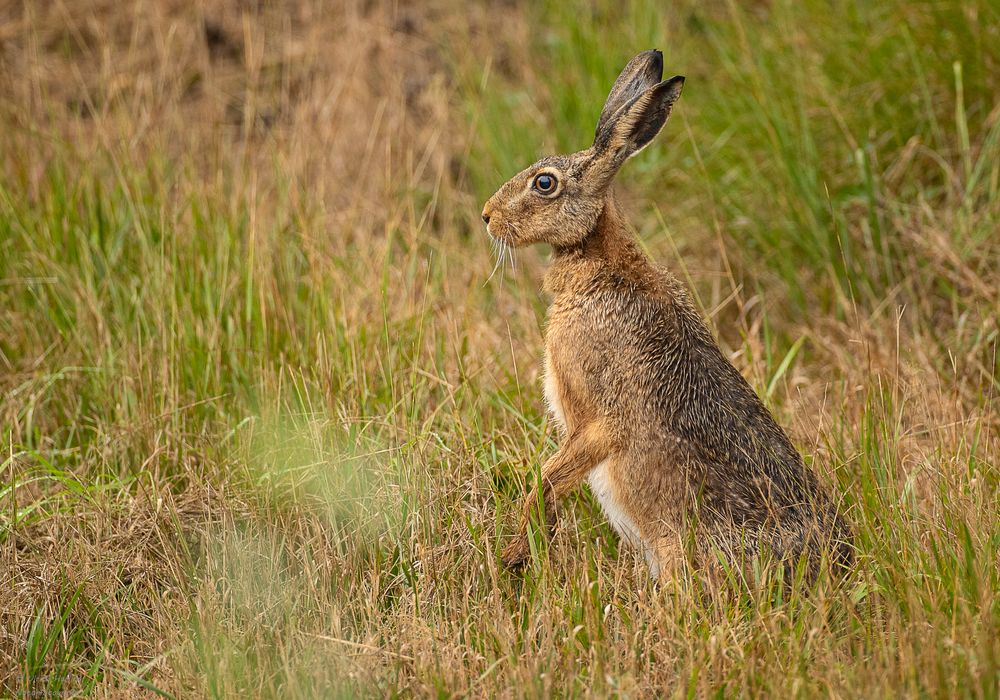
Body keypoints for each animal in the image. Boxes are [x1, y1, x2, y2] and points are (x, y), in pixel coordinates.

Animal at [481, 50, 853, 581]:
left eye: (544, 183)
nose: (487, 215)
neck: (602, 265)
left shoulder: (597, 417)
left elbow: (549, 478)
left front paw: (517, 555)